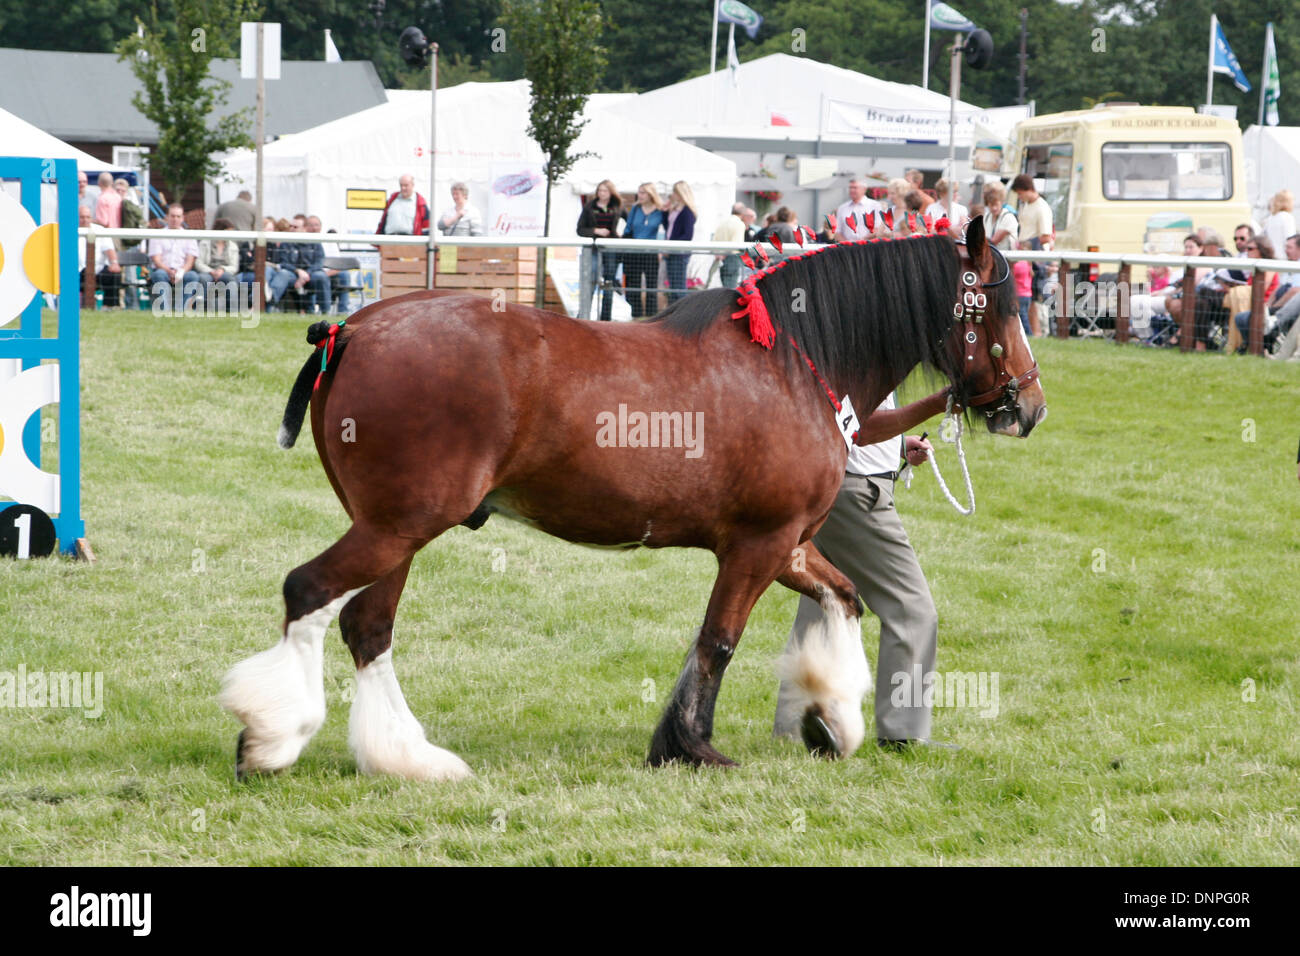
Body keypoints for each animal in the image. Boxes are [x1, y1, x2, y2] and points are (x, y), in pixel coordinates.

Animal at [219, 216, 1045, 781]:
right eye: (1003, 307)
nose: (1028, 407)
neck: (794, 364)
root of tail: (349, 332)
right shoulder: (758, 544)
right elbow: (718, 640)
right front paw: (691, 745)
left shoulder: (788, 546)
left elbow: (844, 599)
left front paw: (831, 721)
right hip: (397, 527)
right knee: (309, 593)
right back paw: (270, 740)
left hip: (398, 530)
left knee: (367, 626)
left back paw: (407, 758)